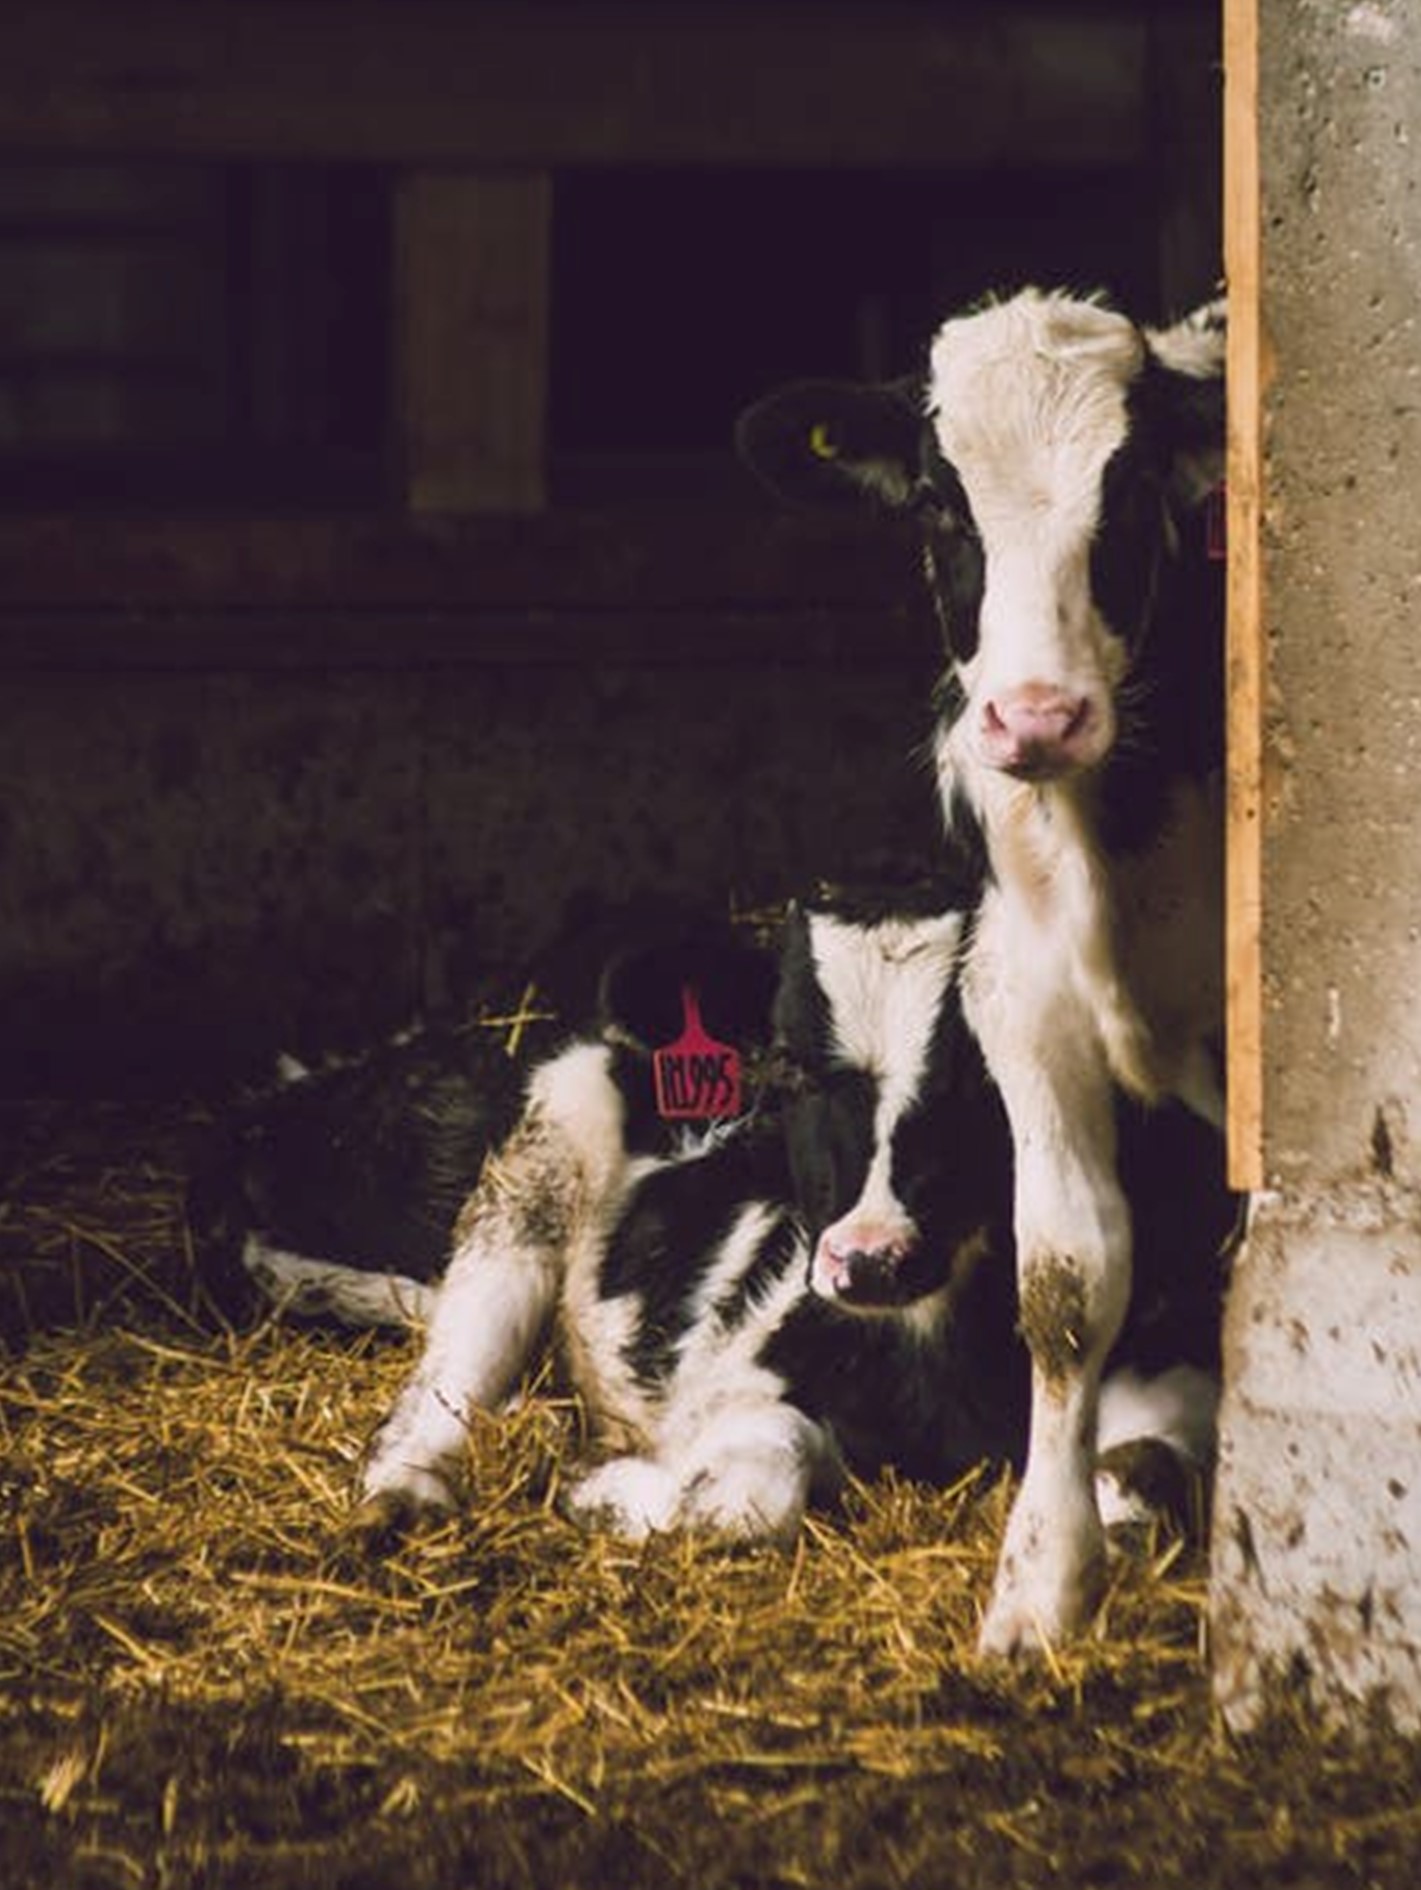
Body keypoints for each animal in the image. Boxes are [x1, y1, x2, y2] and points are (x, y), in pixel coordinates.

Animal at [354, 879, 1232, 1558]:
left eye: (986, 1077)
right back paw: (405, 1491)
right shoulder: (732, 1370)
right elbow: (740, 1499)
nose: (868, 1257)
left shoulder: (1171, 1345)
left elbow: (1142, 1482)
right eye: (789, 1068)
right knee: (450, 1374)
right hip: (533, 1175)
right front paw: (605, 1492)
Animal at [735, 288, 1228, 1651]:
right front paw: (1038, 1589)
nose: (1036, 717)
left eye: (1132, 488)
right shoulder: (1022, 1003)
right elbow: (1064, 1284)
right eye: (936, 504)